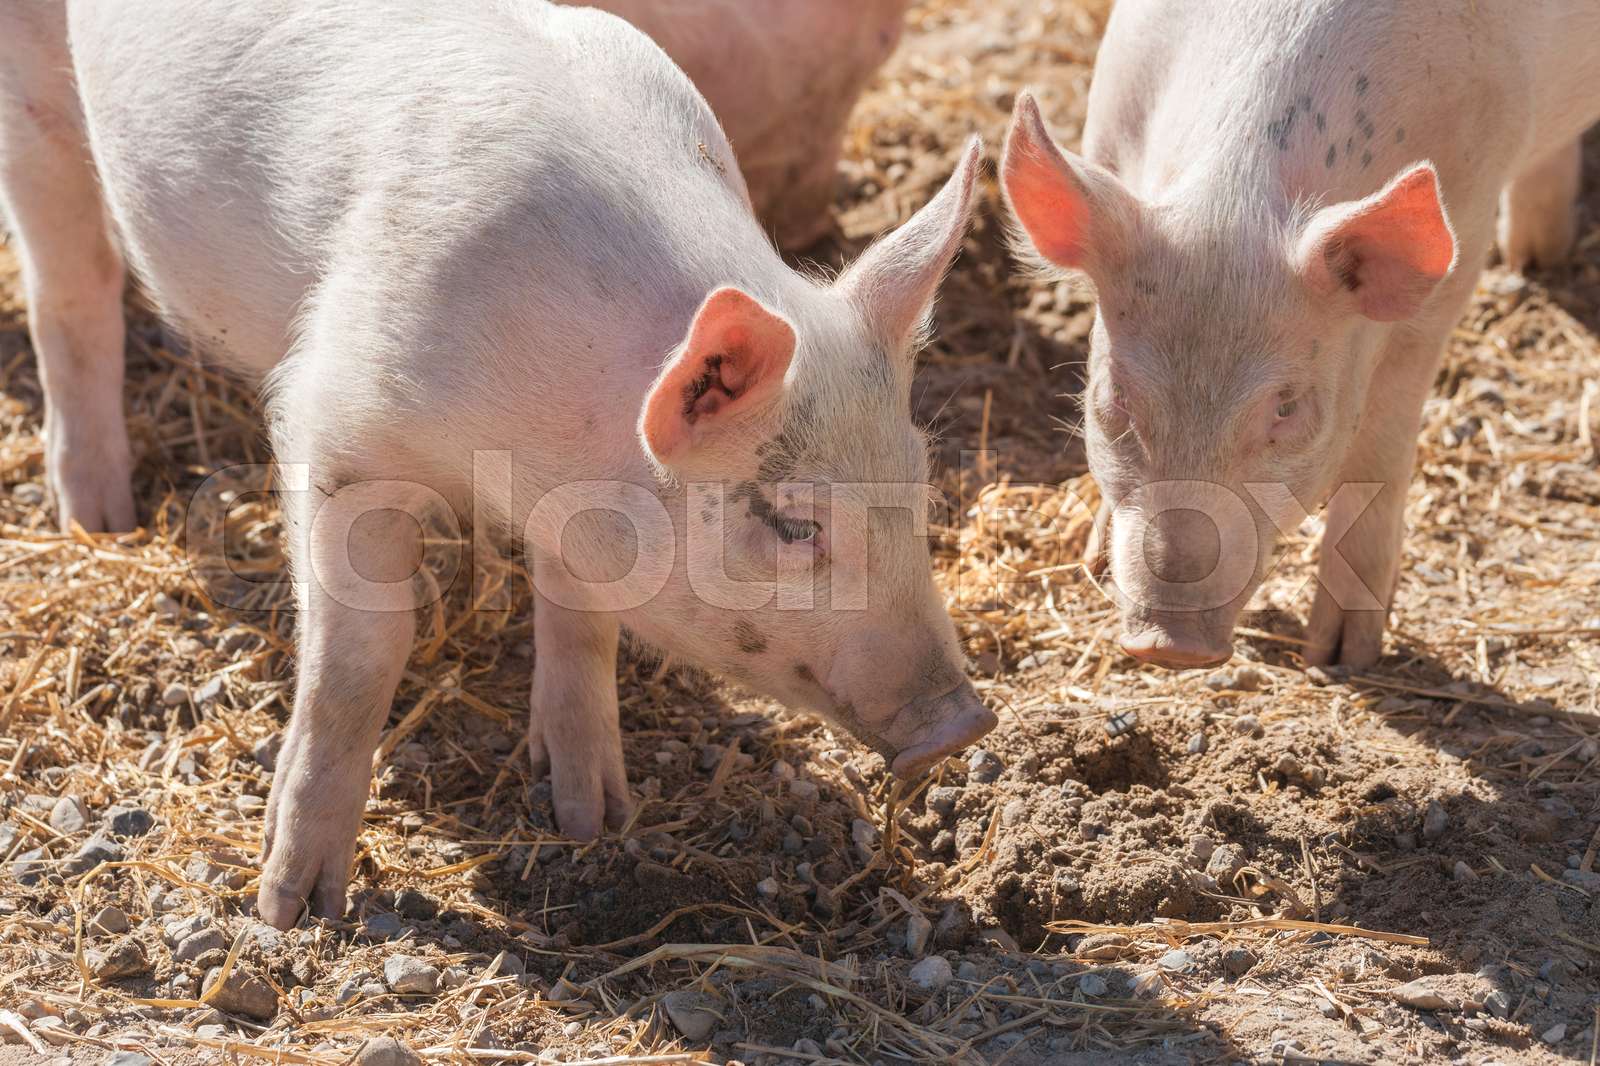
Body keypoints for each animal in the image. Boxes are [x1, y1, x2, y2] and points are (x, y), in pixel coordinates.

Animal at [1001, 0, 1600, 669]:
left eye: (1286, 408)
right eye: (1116, 396)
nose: (1169, 644)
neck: (1237, 203)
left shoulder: (1458, 250)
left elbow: (1380, 449)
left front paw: (1339, 656)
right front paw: (1094, 554)